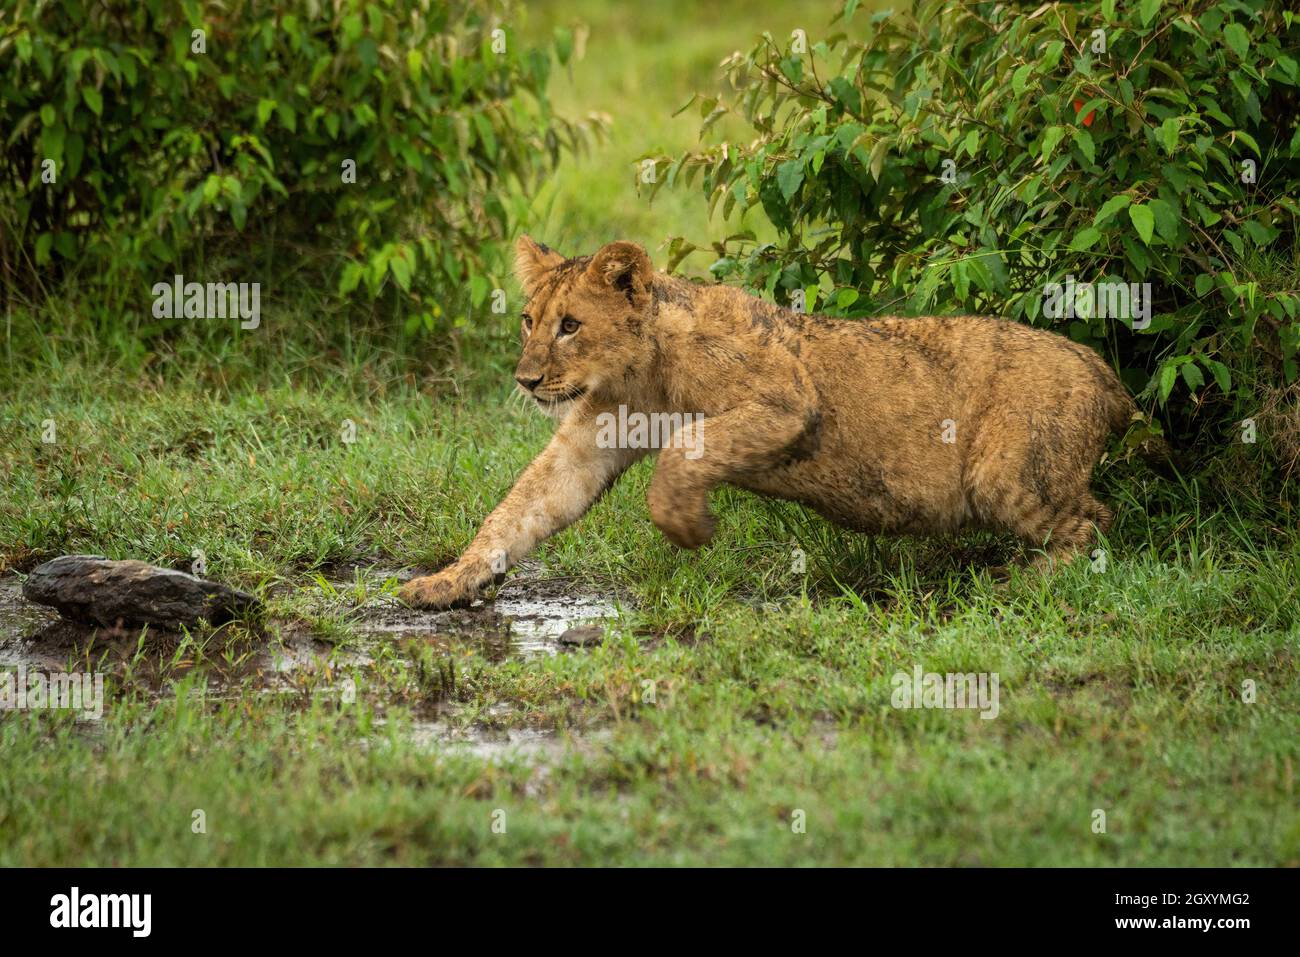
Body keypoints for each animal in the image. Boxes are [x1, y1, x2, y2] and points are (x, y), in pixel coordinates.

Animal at [398, 236, 1139, 609]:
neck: (641, 371)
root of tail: (1101, 366)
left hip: (1005, 473)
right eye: (529, 321)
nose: (525, 380)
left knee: (1092, 520)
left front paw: (690, 529)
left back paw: (1029, 583)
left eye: (570, 326)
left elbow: (684, 451)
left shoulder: (789, 399)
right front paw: (446, 582)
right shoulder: (590, 440)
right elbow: (520, 510)